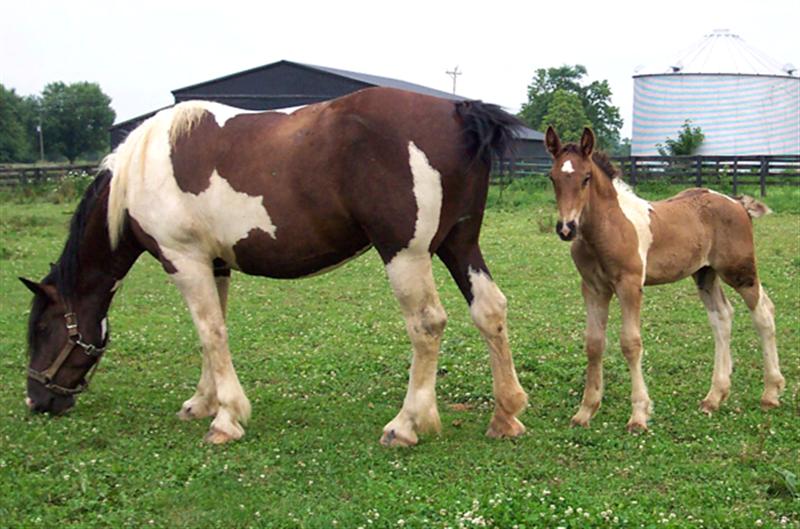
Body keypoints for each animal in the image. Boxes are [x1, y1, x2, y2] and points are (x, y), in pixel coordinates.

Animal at [20, 87, 530, 446]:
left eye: (42, 329)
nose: (36, 400)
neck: (140, 173)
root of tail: (458, 112)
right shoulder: (215, 264)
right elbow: (211, 333)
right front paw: (202, 403)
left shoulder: (183, 260)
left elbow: (210, 332)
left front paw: (225, 419)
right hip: (459, 245)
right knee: (490, 310)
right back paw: (506, 413)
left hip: (406, 254)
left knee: (427, 324)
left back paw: (405, 425)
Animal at [544, 126, 785, 432]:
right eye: (552, 177)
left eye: (586, 177)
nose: (566, 228)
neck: (608, 227)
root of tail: (738, 203)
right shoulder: (593, 288)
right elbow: (594, 344)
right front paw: (586, 411)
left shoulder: (629, 285)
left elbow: (630, 343)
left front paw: (639, 415)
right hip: (705, 274)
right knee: (722, 318)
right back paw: (714, 398)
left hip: (740, 272)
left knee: (763, 313)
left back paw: (771, 393)